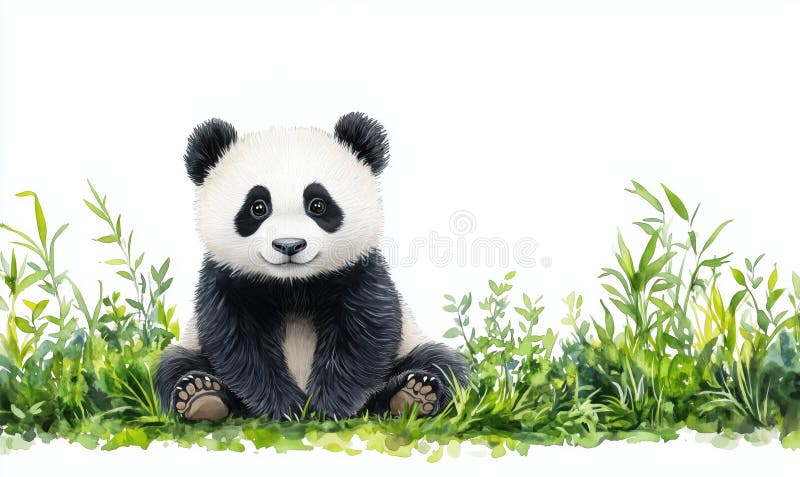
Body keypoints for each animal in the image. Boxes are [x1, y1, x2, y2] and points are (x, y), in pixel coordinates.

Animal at [154, 112, 470, 421]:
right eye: (257, 207)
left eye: (318, 204)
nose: (289, 245)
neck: (293, 283)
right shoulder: (228, 280)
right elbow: (240, 343)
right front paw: (287, 408)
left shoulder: (359, 273)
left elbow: (364, 334)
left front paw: (327, 406)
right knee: (173, 366)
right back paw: (200, 396)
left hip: (410, 344)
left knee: (442, 363)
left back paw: (413, 394)